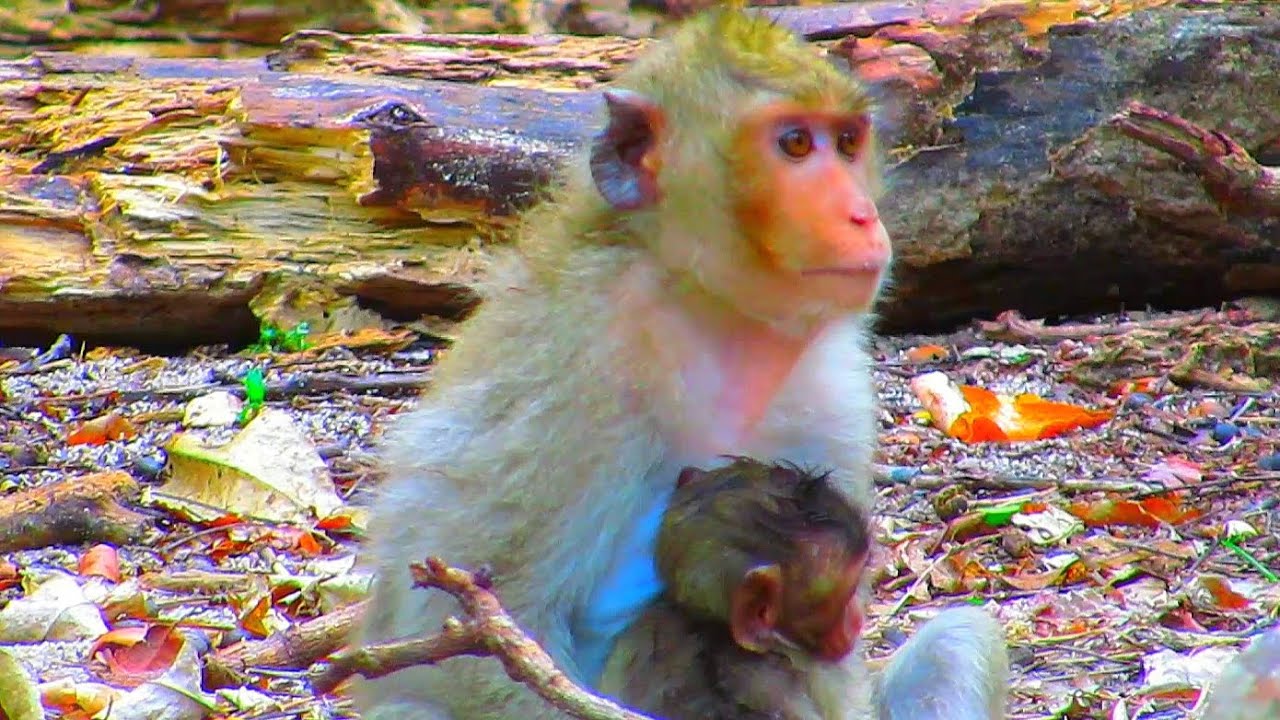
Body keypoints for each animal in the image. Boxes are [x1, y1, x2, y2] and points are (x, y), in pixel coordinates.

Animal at [353, 8, 1005, 719]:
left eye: (847, 142)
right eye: (794, 144)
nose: (861, 214)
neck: (707, 309)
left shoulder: (833, 378)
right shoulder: (579, 353)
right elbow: (460, 652)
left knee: (956, 640)